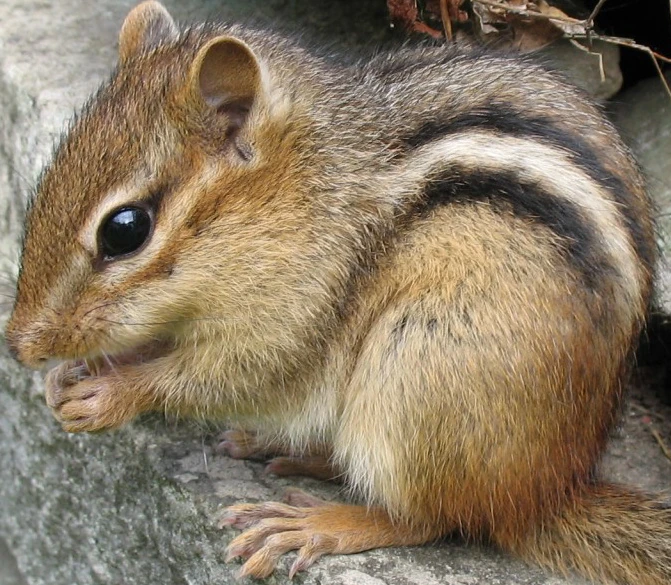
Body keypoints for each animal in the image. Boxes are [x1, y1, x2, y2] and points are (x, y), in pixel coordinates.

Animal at [4, 1, 669, 583]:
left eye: (126, 229)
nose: (19, 347)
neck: (302, 187)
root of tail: (548, 491)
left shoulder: (294, 312)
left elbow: (229, 376)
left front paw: (114, 392)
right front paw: (73, 375)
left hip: (420, 372)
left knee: (435, 518)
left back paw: (321, 523)